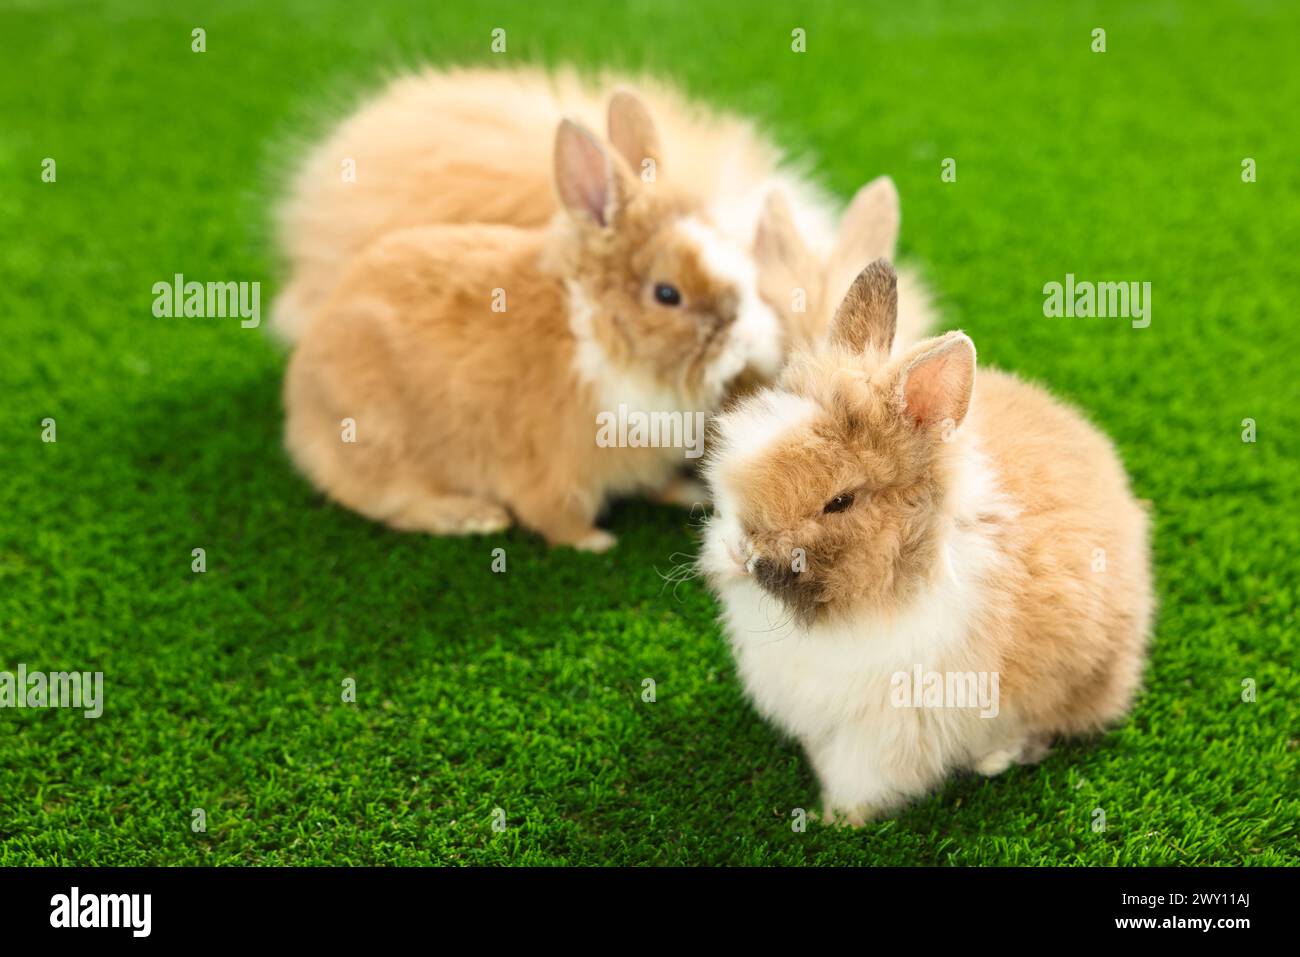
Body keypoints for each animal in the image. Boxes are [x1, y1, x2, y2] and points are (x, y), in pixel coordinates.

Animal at [283, 118, 785, 551]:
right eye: (667, 294)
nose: (749, 340)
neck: (598, 335)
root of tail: (298, 408)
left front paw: (689, 495)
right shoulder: (553, 471)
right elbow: (556, 516)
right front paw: (595, 542)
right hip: (381, 446)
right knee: (392, 503)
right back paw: (475, 516)